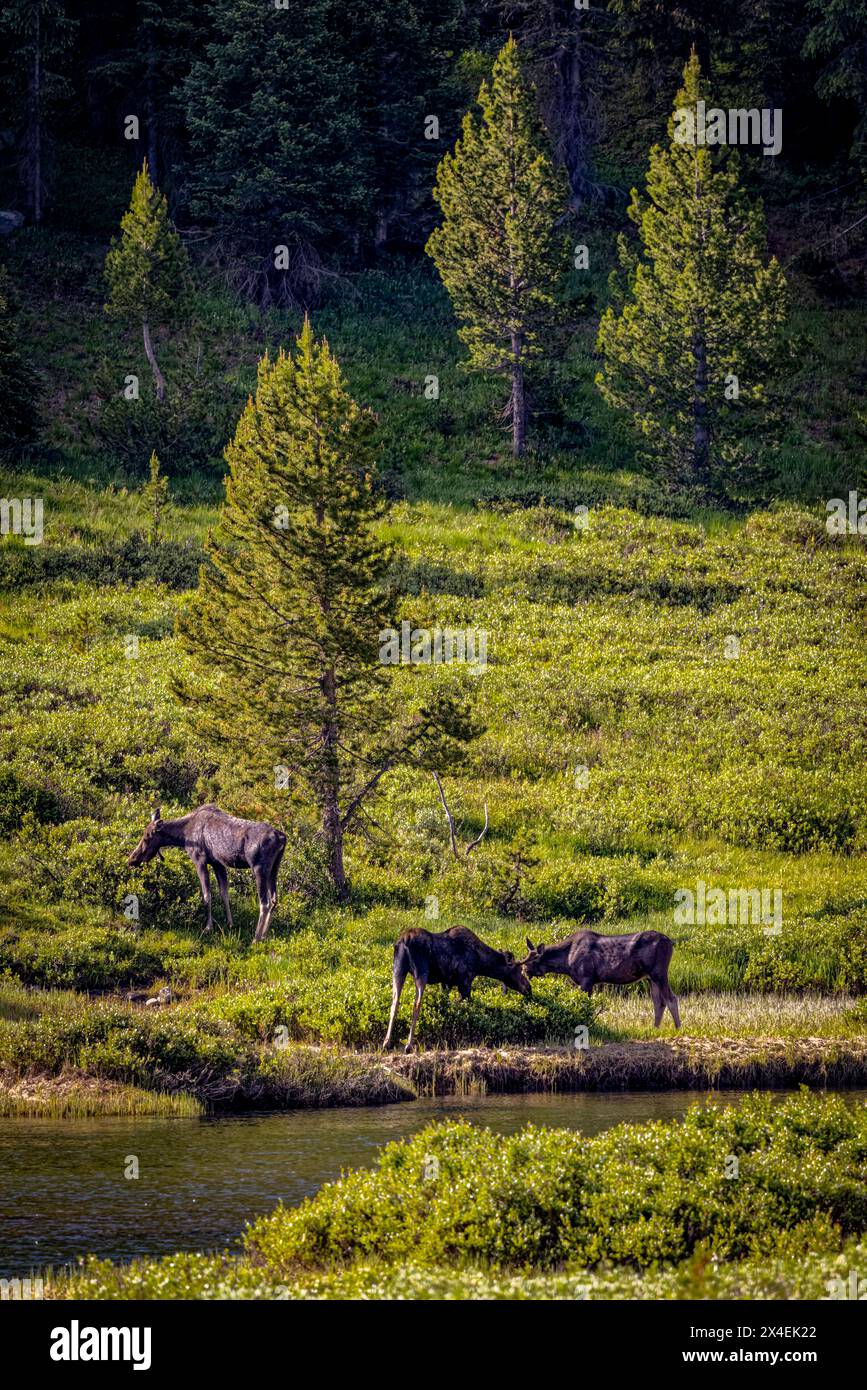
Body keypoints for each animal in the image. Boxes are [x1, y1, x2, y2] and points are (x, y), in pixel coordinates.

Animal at [127, 806, 286, 942]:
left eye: (147, 837)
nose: (131, 859)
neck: (183, 836)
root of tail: (282, 838)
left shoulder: (199, 859)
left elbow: (206, 895)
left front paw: (208, 927)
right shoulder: (218, 863)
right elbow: (224, 893)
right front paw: (230, 924)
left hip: (259, 868)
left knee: (264, 903)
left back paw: (257, 938)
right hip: (274, 868)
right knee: (274, 899)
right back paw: (264, 935)